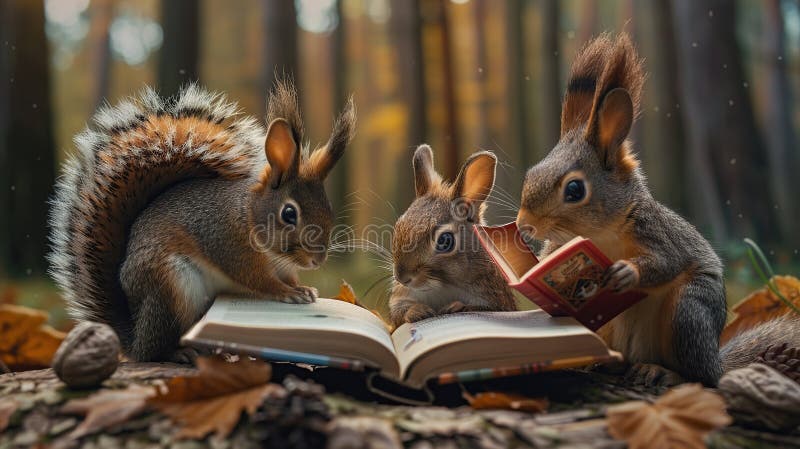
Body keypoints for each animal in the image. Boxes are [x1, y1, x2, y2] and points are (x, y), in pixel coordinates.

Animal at [48, 81, 356, 362]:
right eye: (289, 214)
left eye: (328, 208)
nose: (317, 260)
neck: (247, 215)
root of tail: (134, 340)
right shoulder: (226, 242)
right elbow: (256, 278)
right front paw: (286, 292)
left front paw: (302, 287)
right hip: (171, 287)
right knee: (154, 351)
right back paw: (178, 353)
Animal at [389, 145, 517, 329]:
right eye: (398, 225)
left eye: (445, 241)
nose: (402, 278)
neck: (443, 285)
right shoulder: (401, 297)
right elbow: (398, 313)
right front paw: (418, 311)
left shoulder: (496, 299)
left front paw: (455, 306)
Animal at [516, 33, 799, 386]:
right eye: (531, 172)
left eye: (574, 190)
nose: (523, 225)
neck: (600, 233)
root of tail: (717, 361)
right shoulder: (558, 245)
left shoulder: (655, 231)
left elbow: (666, 261)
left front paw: (628, 272)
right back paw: (602, 363)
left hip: (689, 312)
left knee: (699, 376)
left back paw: (662, 371)